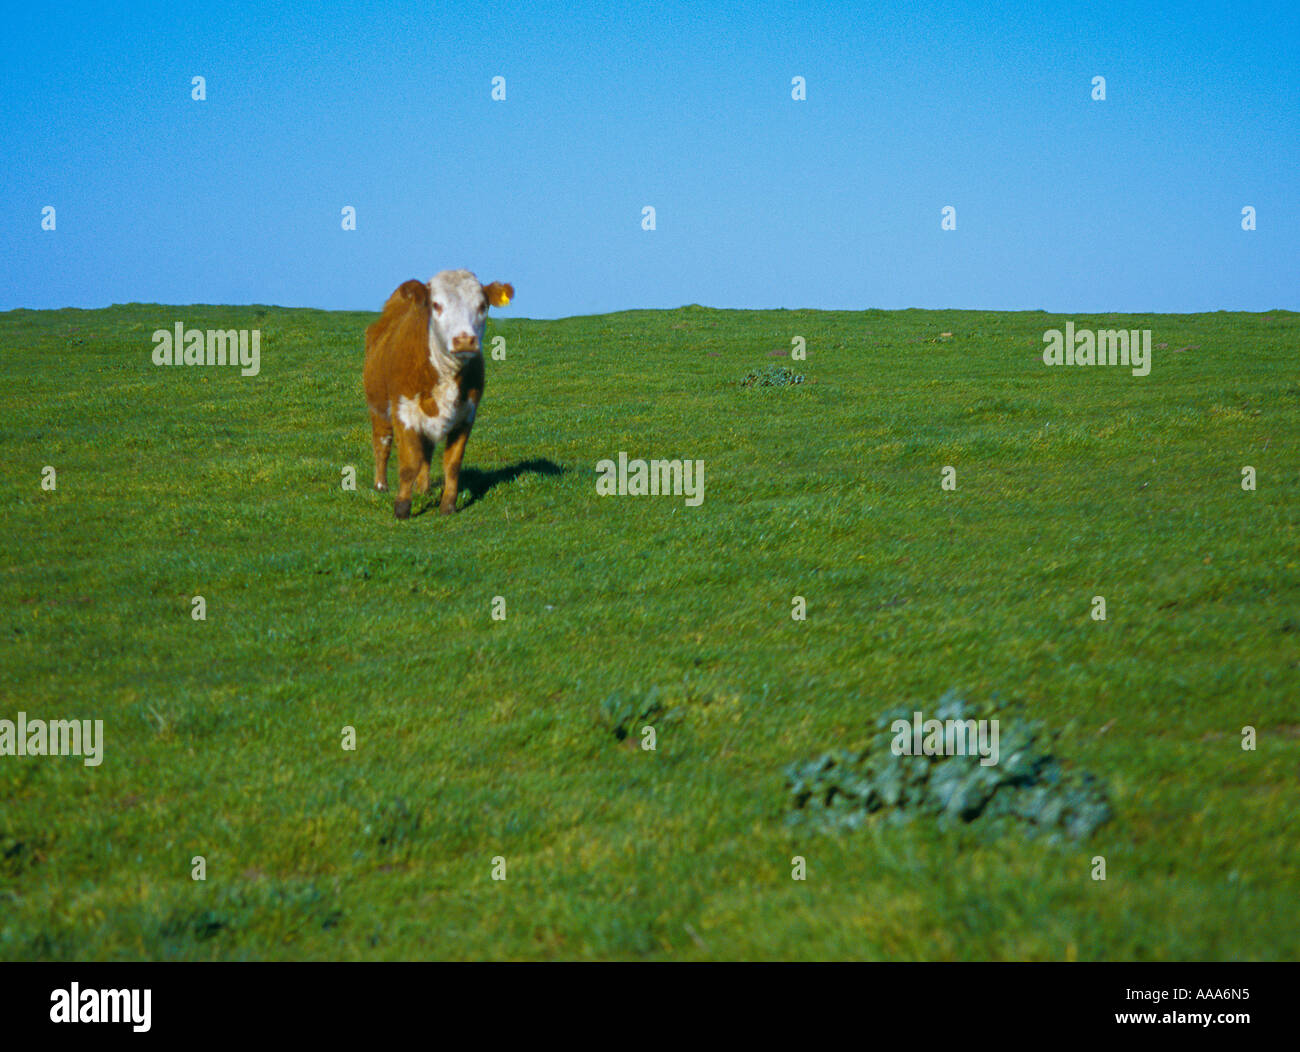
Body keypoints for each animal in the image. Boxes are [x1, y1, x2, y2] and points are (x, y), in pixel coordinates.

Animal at [363, 270, 513, 518]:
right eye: (436, 304)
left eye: (482, 305)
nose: (465, 340)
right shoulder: (403, 412)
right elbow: (408, 464)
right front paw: (402, 507)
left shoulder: (466, 415)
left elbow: (451, 464)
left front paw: (447, 506)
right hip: (378, 406)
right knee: (382, 443)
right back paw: (381, 485)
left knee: (426, 452)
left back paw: (423, 489)